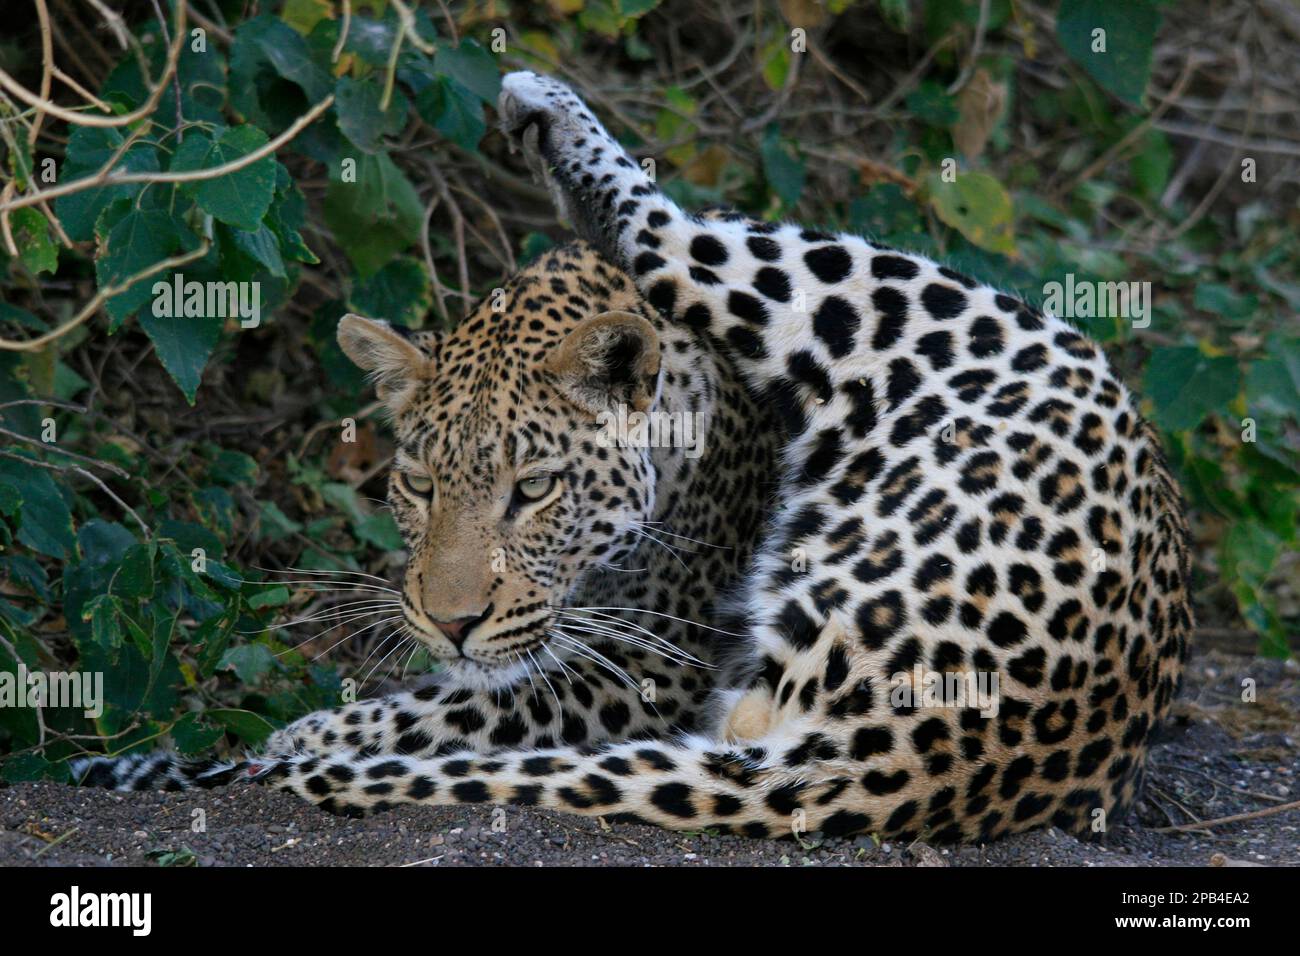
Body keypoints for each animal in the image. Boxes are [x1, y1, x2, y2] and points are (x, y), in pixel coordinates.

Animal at [73, 70, 1192, 844]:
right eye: (418, 485)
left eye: (533, 490)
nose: (449, 619)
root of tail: (961, 744)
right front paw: (168, 768)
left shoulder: (645, 664)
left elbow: (439, 710)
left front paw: (285, 745)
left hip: (887, 293)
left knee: (675, 230)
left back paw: (545, 107)